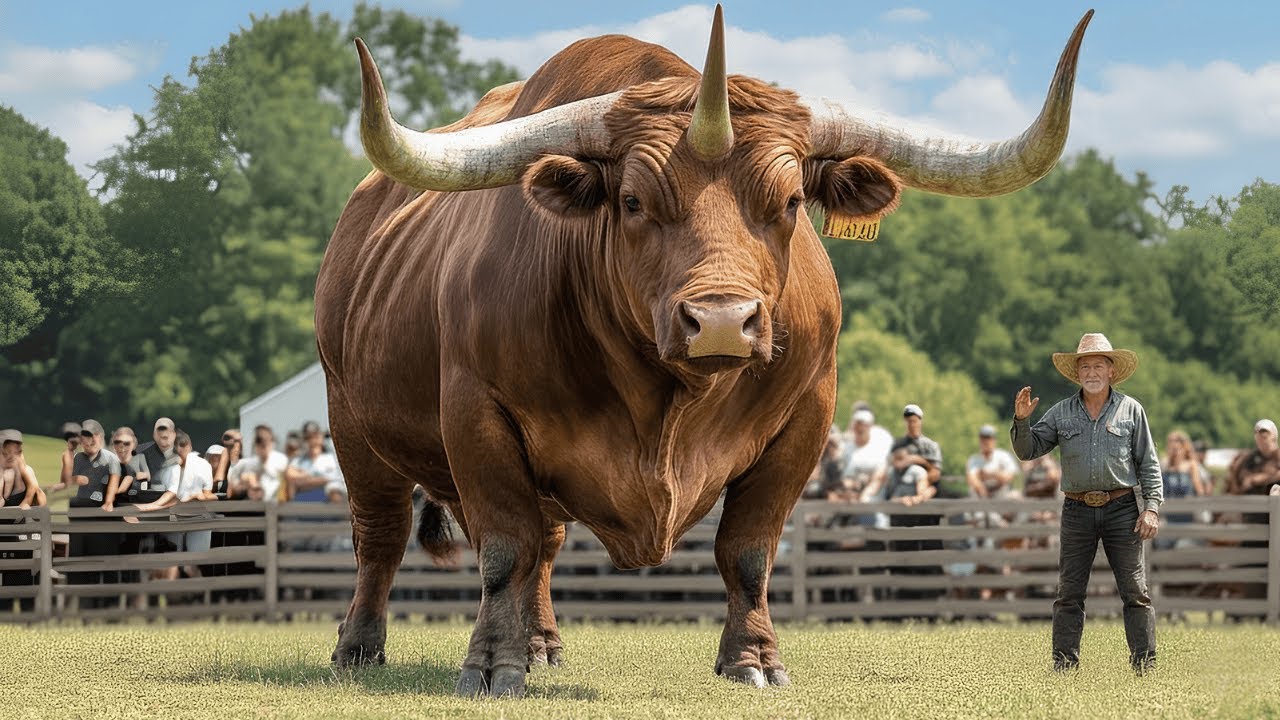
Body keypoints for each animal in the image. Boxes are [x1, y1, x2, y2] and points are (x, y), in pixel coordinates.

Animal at [315, 5, 1092, 697]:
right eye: (631, 200)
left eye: (790, 201)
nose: (721, 321)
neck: (662, 406)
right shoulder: (478, 415)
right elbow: (505, 548)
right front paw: (490, 668)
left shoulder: (806, 418)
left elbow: (746, 550)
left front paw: (753, 660)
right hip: (350, 420)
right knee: (382, 536)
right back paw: (360, 648)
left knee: (547, 543)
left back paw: (542, 643)